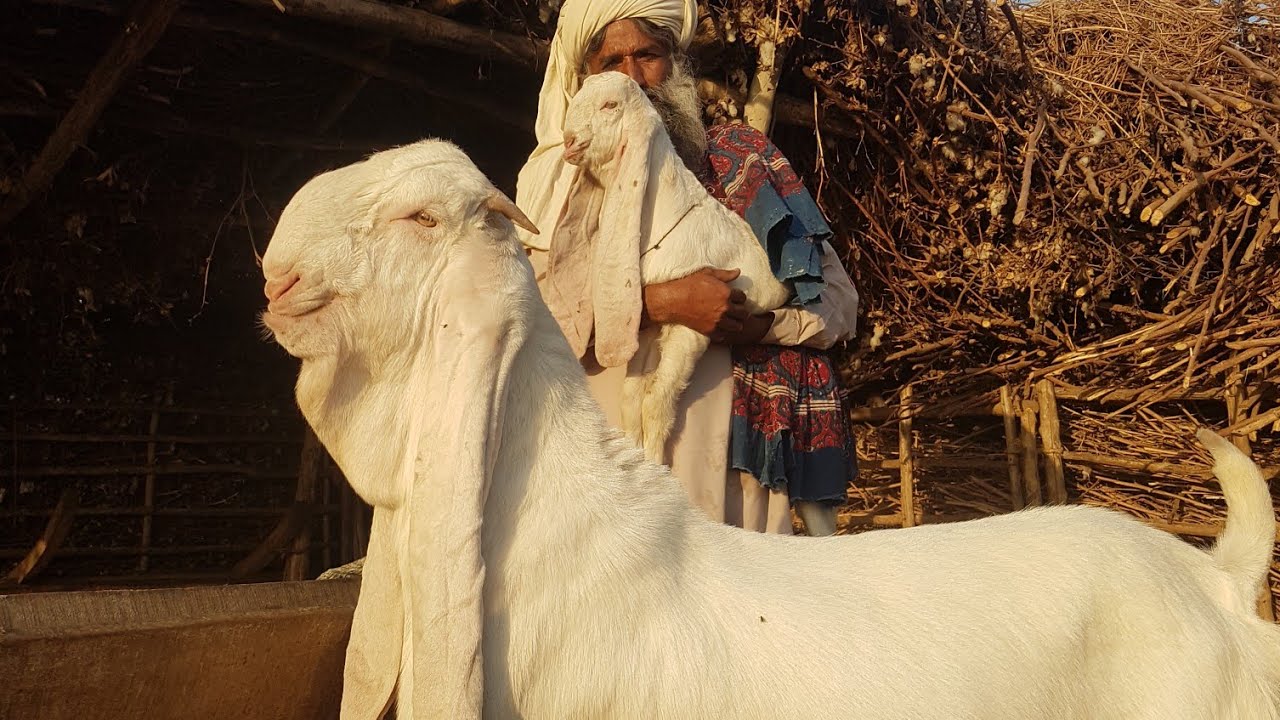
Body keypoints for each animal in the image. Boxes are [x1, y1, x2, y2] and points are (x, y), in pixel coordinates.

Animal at [557, 71, 793, 462]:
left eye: (610, 105)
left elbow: (655, 401)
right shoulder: (649, 325)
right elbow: (631, 397)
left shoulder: (693, 327)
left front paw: (656, 463)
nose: (569, 140)